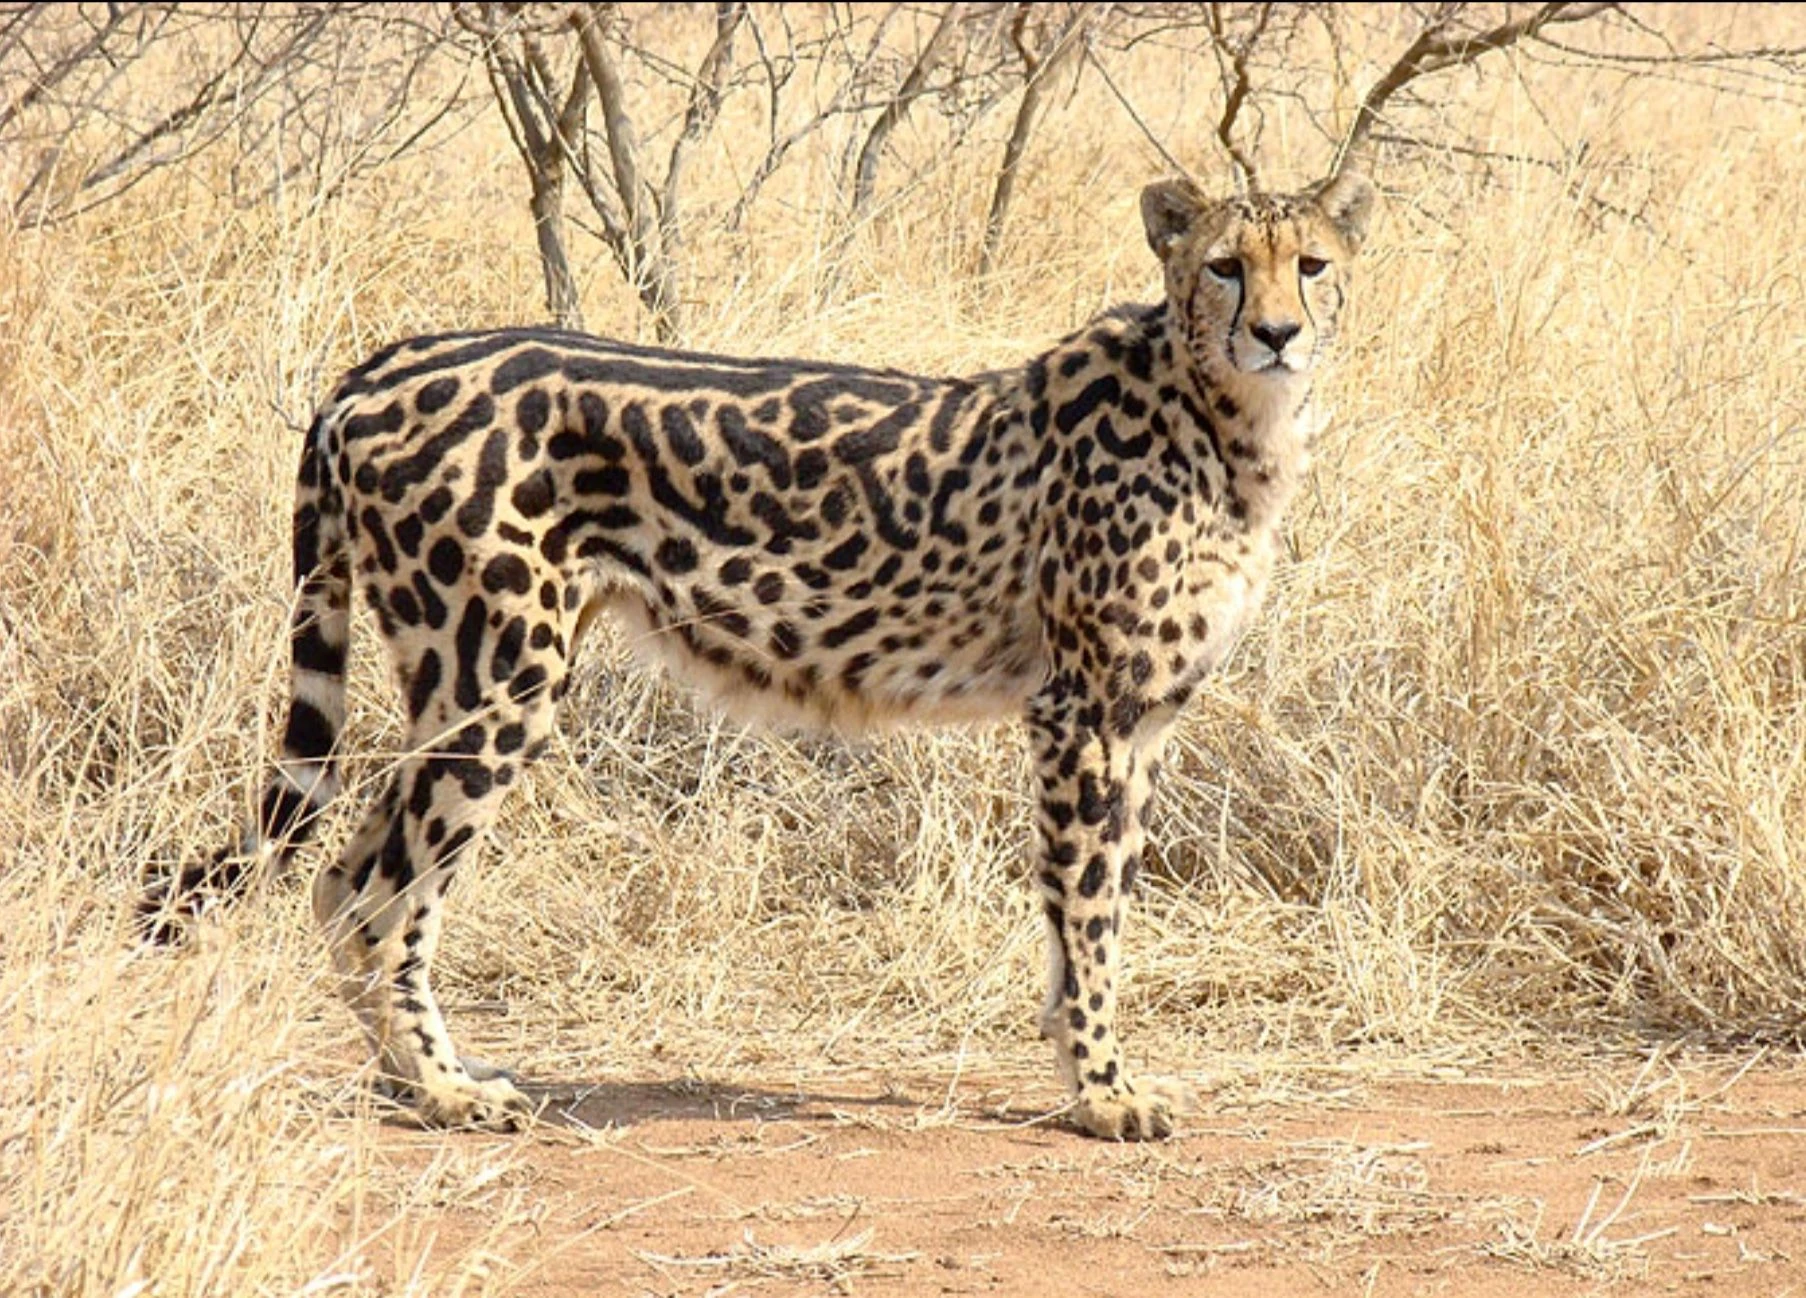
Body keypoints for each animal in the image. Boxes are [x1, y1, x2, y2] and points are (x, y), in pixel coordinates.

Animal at [140, 168, 1374, 1141]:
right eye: (1225, 267)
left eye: (1310, 264)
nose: (1277, 332)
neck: (1221, 413)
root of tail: (380, 364)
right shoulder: (1086, 710)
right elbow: (1091, 911)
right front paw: (1104, 1093)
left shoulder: (1142, 717)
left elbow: (1089, 913)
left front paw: (1084, 1071)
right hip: (496, 676)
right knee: (372, 889)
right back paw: (444, 1091)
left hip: (470, 674)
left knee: (347, 875)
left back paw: (412, 1082)